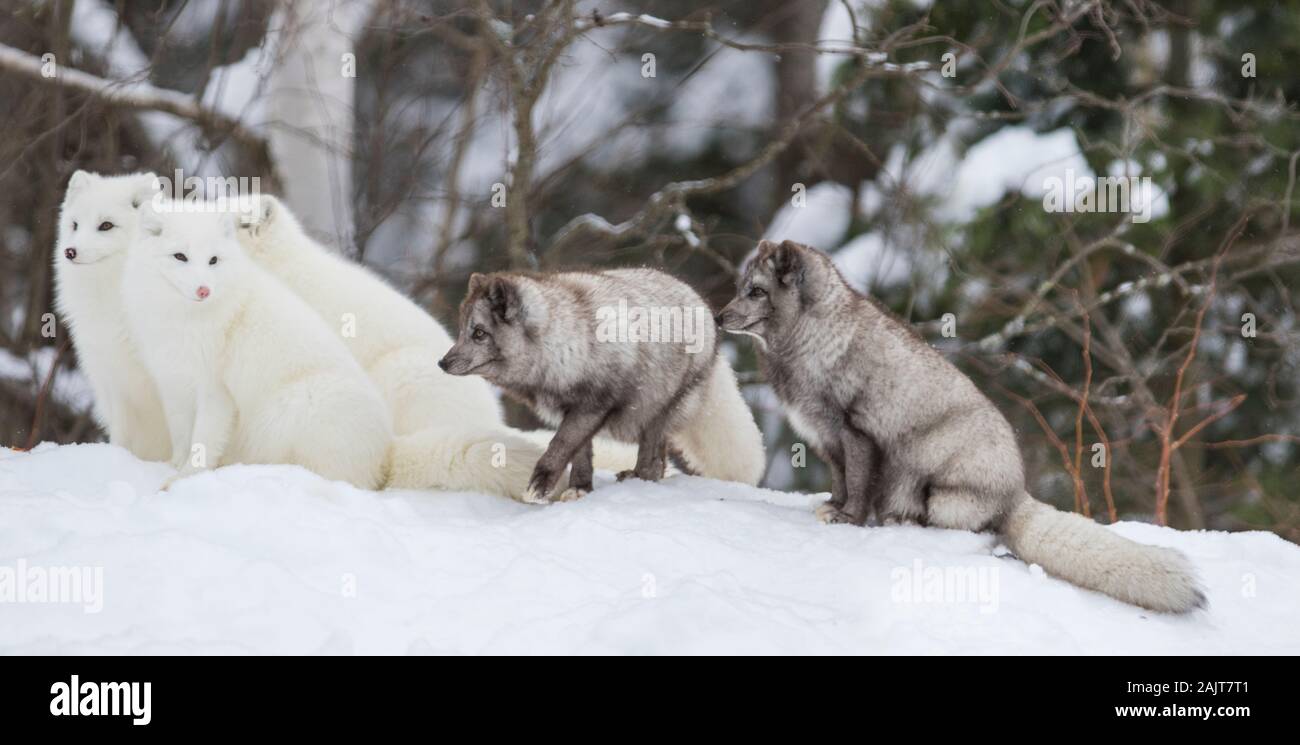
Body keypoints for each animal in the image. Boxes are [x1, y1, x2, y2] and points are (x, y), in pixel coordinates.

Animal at [121, 206, 392, 490]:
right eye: (180, 256)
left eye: (213, 260)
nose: (204, 290)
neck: (182, 318)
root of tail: (382, 459)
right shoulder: (172, 383)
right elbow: (182, 435)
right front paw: (174, 466)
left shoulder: (214, 390)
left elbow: (203, 442)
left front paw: (183, 479)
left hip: (290, 409)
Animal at [440, 269, 766, 504]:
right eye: (462, 331)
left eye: (479, 333)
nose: (442, 363)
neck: (563, 343)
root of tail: (702, 304)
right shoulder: (571, 410)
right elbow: (580, 452)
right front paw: (580, 490)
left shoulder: (593, 405)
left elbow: (560, 445)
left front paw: (540, 487)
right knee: (660, 461)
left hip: (655, 408)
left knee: (651, 460)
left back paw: (639, 480)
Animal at [718, 239, 1205, 614]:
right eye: (741, 289)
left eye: (756, 291)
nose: (720, 317)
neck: (807, 341)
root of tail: (1015, 492)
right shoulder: (826, 439)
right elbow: (840, 482)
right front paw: (831, 508)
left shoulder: (856, 433)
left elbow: (857, 485)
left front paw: (848, 519)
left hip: (935, 488)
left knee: (976, 530)